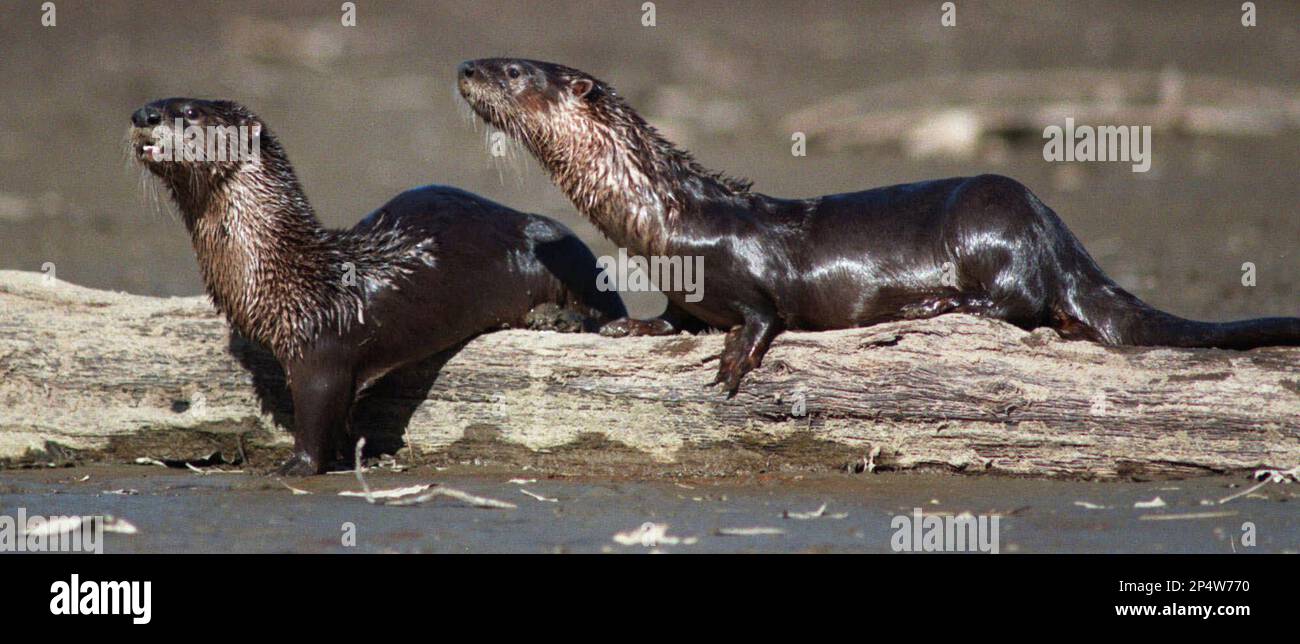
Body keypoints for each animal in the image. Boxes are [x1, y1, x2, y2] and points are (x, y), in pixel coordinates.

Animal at [130, 98, 626, 474]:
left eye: (189, 112)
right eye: (158, 102)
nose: (143, 115)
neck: (286, 273)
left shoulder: (322, 349)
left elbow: (316, 413)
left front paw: (297, 465)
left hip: (566, 247)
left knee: (609, 312)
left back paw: (559, 317)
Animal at [457, 58, 1300, 394]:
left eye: (513, 71)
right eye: (493, 63)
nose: (466, 67)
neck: (668, 222)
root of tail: (1055, 227)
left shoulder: (753, 273)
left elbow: (763, 314)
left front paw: (734, 360)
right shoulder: (679, 285)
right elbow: (674, 319)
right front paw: (633, 327)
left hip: (988, 223)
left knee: (1025, 301)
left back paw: (939, 302)